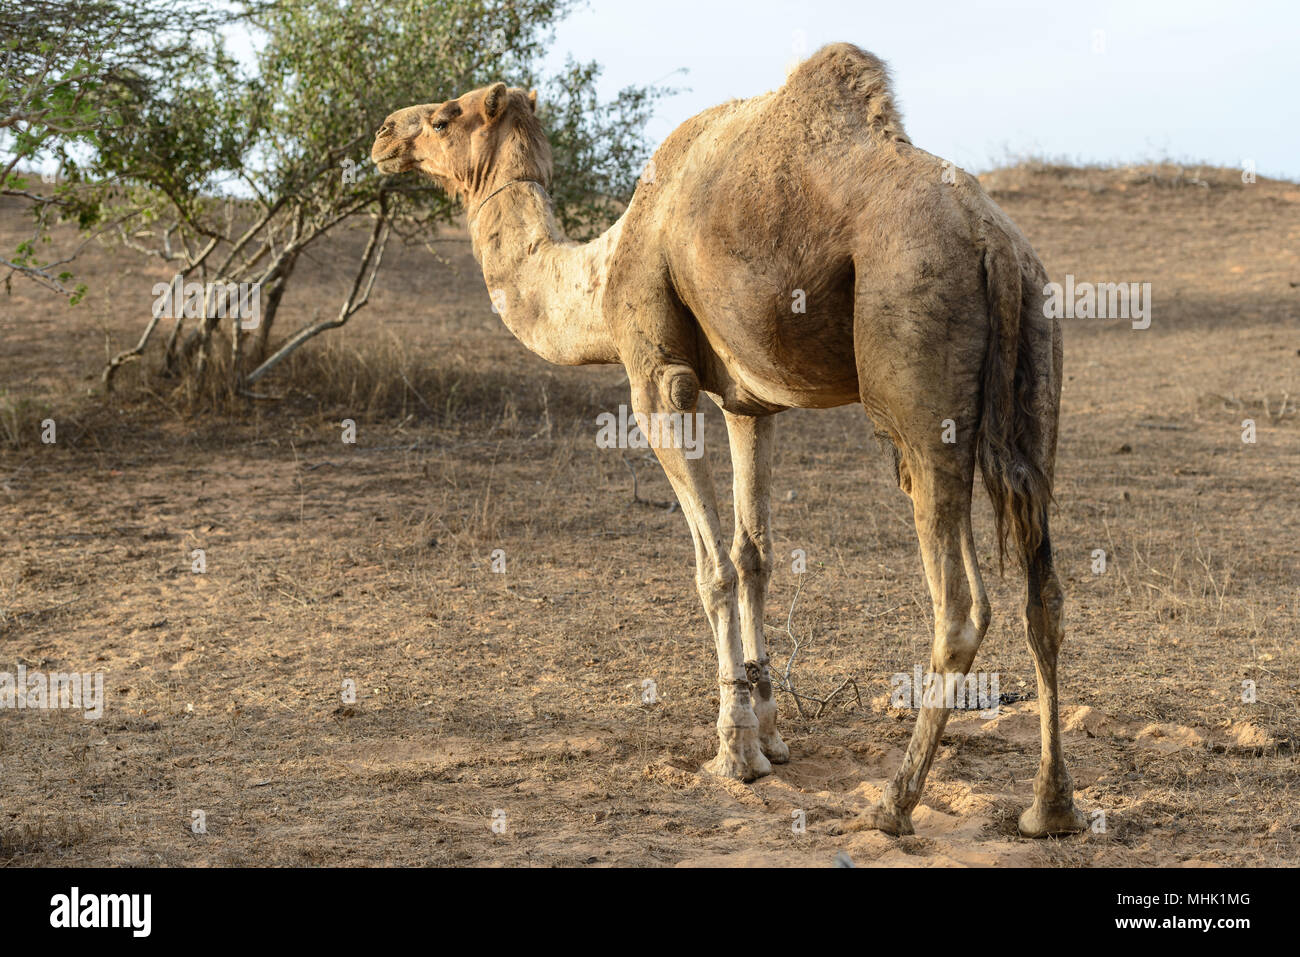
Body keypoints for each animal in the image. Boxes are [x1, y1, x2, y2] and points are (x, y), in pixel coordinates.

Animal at [372, 43, 1086, 837]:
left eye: (444, 117)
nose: (383, 133)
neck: (602, 269)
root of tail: (993, 240)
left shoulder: (659, 379)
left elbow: (709, 568)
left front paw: (734, 752)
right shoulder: (750, 401)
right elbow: (753, 556)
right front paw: (771, 733)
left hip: (919, 380)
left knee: (959, 607)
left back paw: (893, 804)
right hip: (1039, 365)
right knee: (1044, 593)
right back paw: (1049, 808)